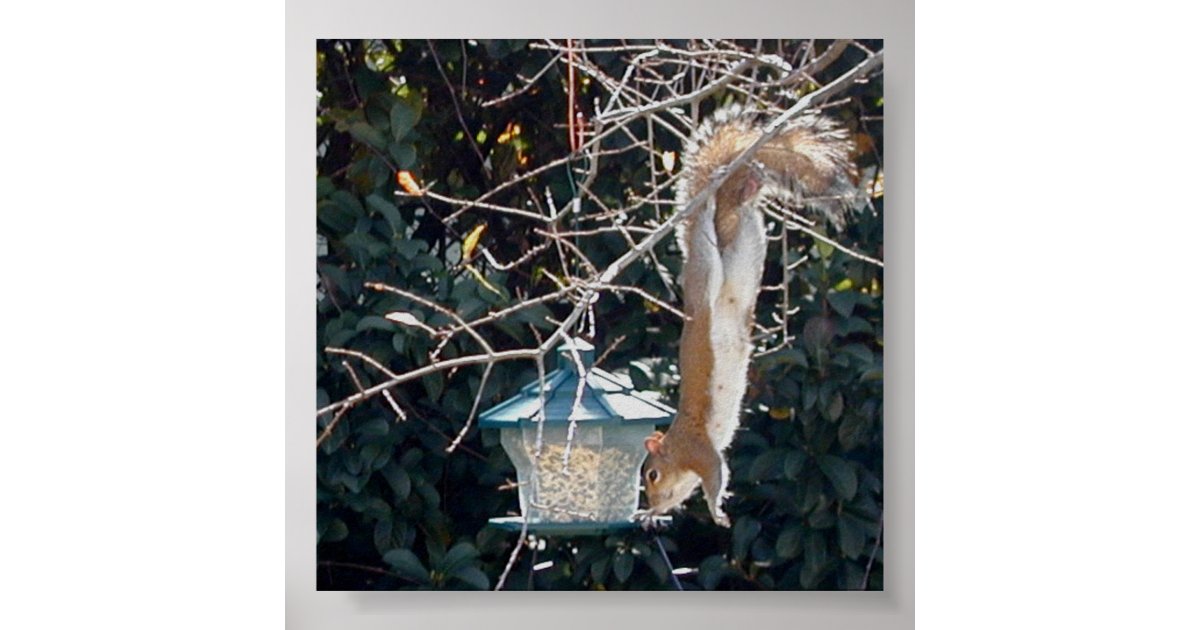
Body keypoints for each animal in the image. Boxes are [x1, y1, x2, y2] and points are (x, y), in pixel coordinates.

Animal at [640, 106, 857, 527]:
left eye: (652, 474)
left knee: (703, 237)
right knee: (743, 217)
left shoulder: (699, 451)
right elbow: (694, 489)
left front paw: (715, 511)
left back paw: (709, 201)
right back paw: (746, 189)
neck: (676, 448)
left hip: (704, 274)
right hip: (747, 245)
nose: (650, 502)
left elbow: (714, 476)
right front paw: (653, 515)